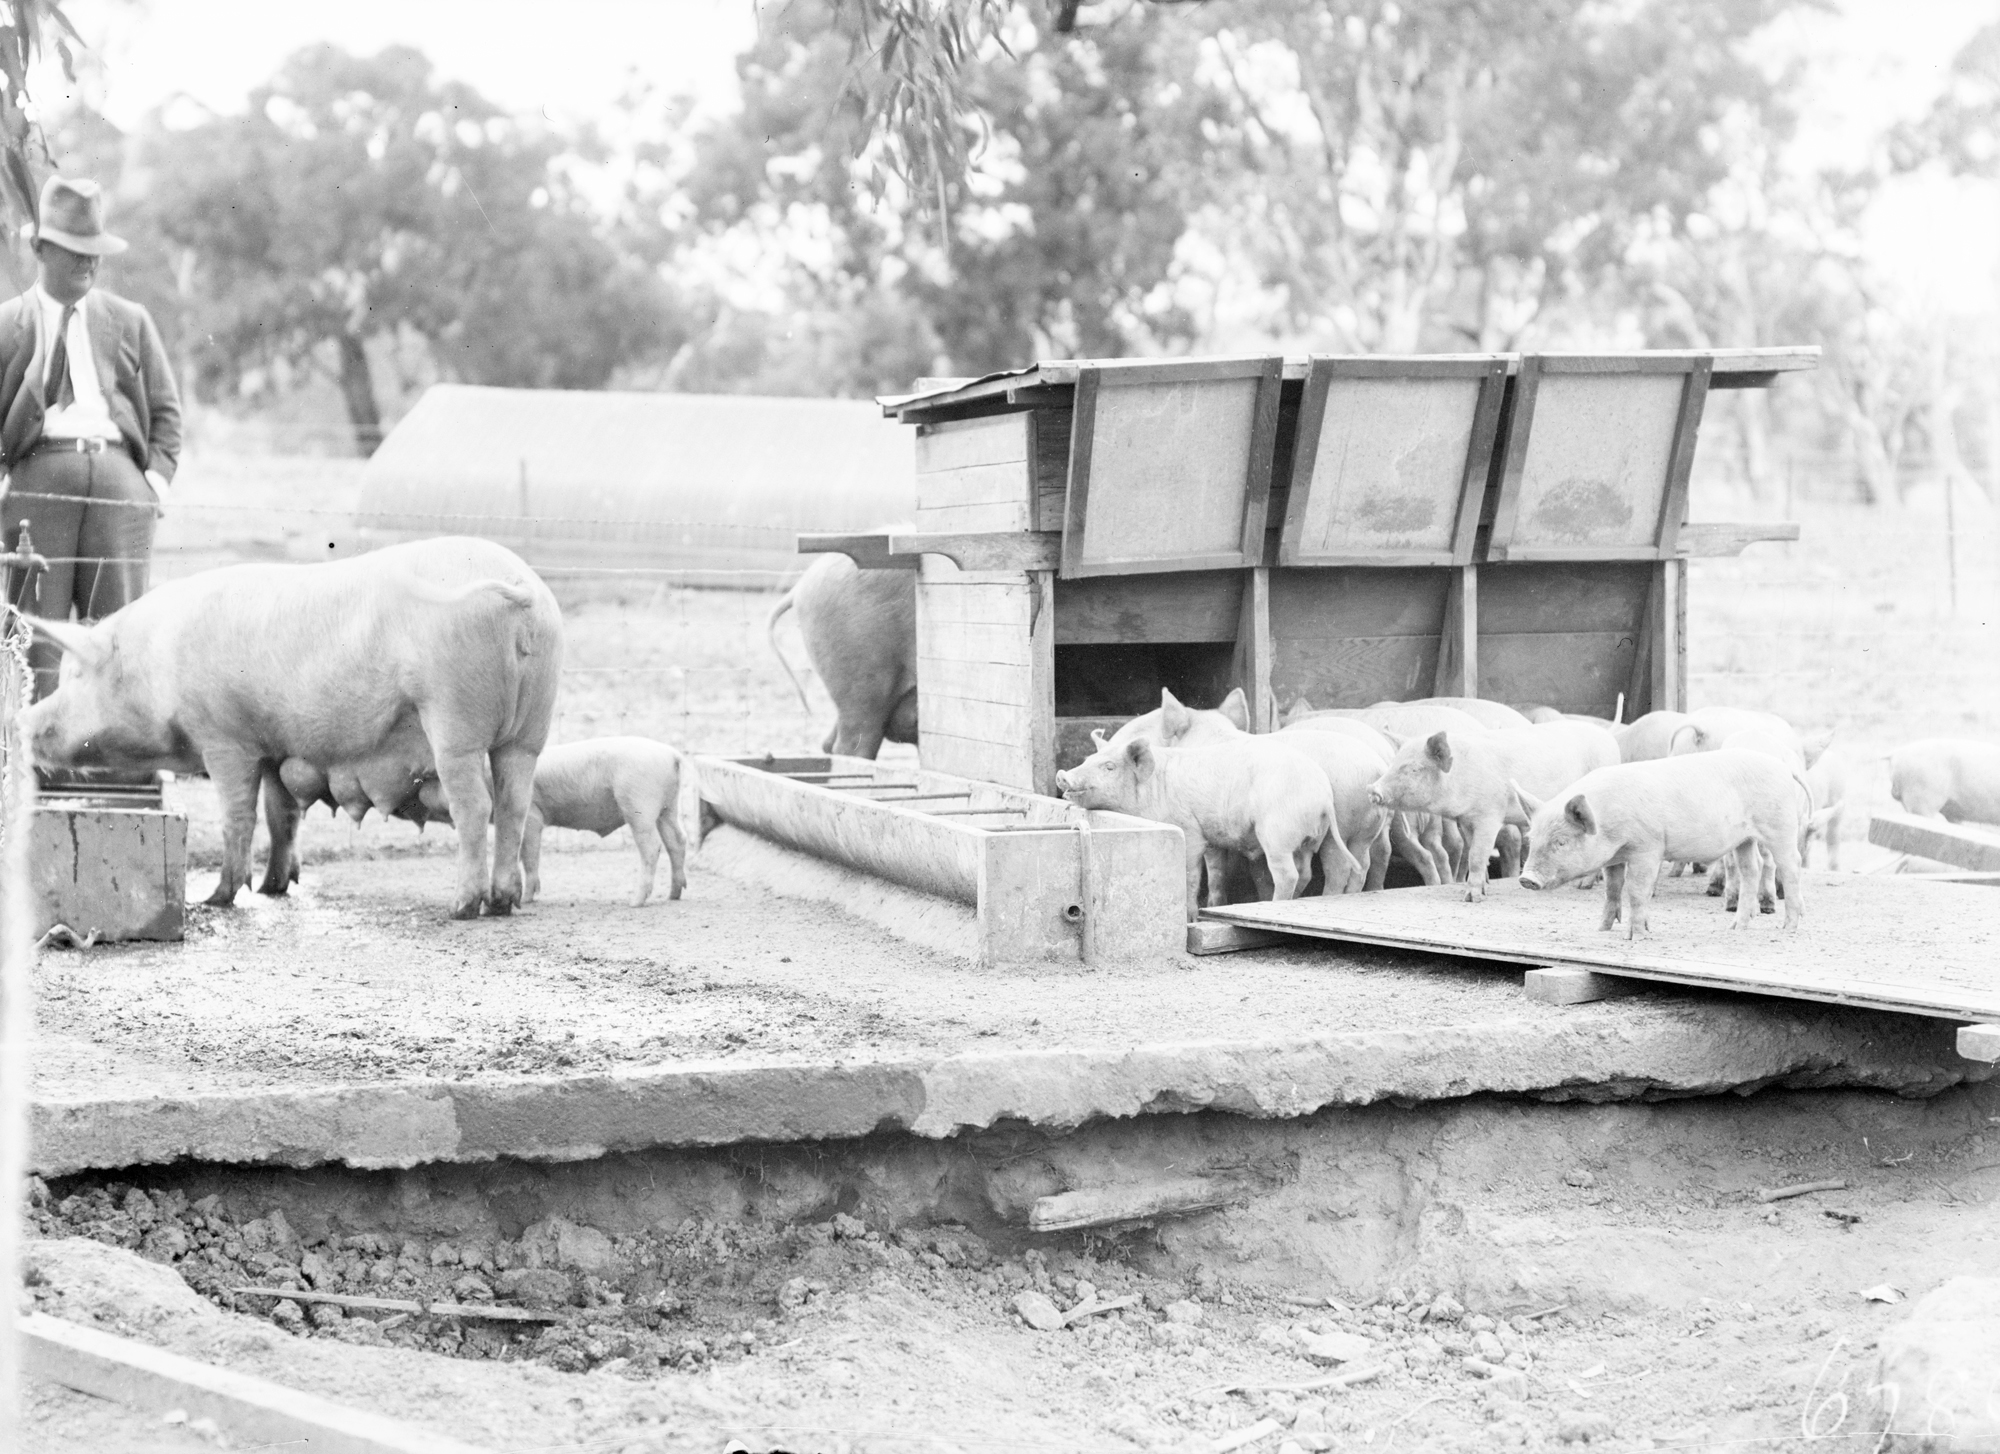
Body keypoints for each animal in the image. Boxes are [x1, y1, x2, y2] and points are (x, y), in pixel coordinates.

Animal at [24, 537, 561, 919]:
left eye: (75, 677)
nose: (23, 722)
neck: (157, 660)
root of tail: (521, 590)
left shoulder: (225, 738)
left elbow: (238, 817)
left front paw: (215, 899)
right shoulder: (276, 747)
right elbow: (281, 816)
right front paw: (272, 889)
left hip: (454, 721)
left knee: (476, 809)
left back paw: (463, 907)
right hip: (528, 733)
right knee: (513, 806)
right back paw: (503, 902)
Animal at [522, 738, 689, 907]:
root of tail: (671, 754)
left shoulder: (532, 815)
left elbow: (528, 857)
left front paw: (525, 900)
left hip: (640, 806)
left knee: (651, 847)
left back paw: (635, 902)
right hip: (668, 807)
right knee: (677, 840)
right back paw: (672, 896)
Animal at [1056, 735, 1359, 920]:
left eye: (1109, 767)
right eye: (1086, 759)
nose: (1063, 775)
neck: (1153, 790)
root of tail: (1323, 793)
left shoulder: (1190, 832)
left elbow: (1190, 875)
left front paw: (1192, 916)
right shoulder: (1211, 840)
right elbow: (1214, 874)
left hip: (1276, 831)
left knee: (1289, 874)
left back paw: (1272, 906)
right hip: (1310, 838)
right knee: (1308, 871)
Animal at [1368, 721, 1619, 901]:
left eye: (1414, 769)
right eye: (1393, 764)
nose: (1372, 789)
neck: (1462, 776)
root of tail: (1609, 737)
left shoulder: (1489, 815)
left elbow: (1478, 854)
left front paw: (1471, 898)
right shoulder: (1466, 820)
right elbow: (1472, 850)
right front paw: (1483, 887)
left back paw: (1583, 886)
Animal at [1515, 750, 1812, 936]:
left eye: (1561, 842)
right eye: (1532, 839)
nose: (1526, 879)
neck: (1609, 821)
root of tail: (1785, 769)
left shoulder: (1648, 847)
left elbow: (1636, 890)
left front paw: (1636, 936)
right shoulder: (1615, 856)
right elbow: (1612, 890)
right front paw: (1601, 929)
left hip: (1779, 825)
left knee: (1791, 865)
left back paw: (1788, 928)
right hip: (1744, 838)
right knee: (1752, 868)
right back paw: (1735, 928)